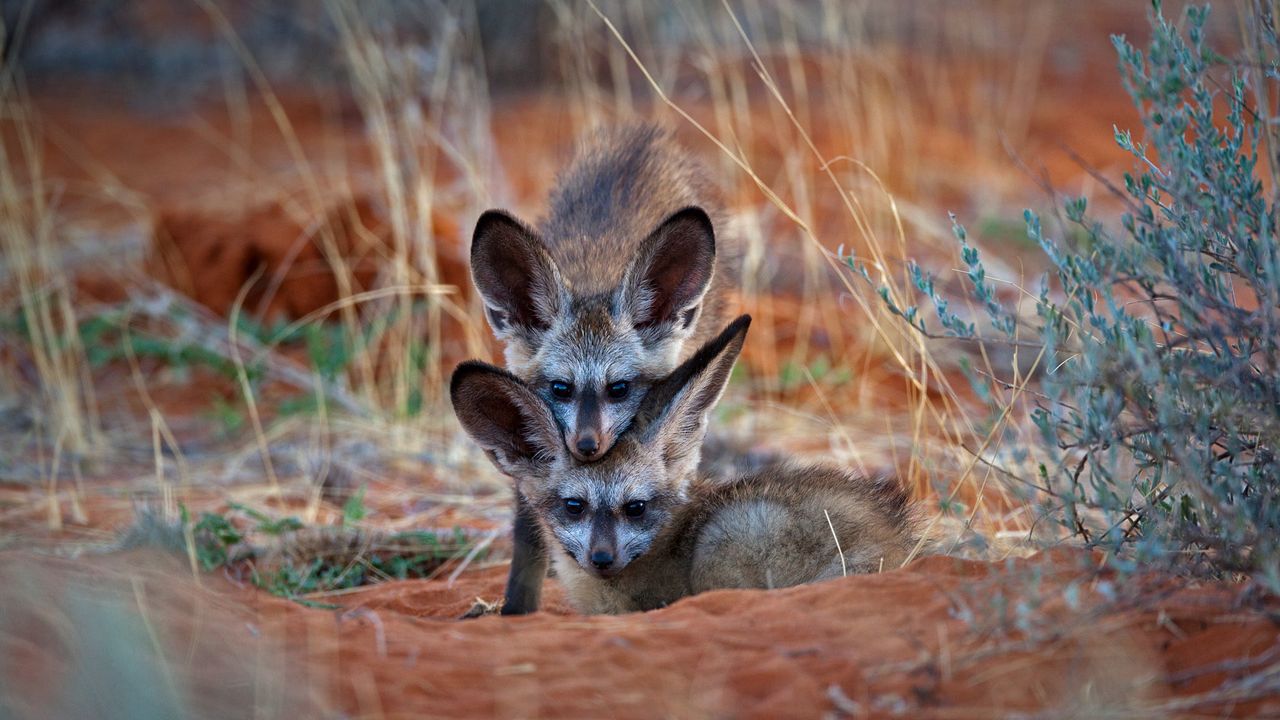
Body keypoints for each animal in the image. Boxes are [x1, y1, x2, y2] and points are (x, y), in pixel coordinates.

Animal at [469, 124, 738, 614]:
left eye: (619, 388)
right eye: (561, 388)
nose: (587, 446)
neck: (596, 277)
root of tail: (641, 140)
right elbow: (529, 530)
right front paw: (518, 608)